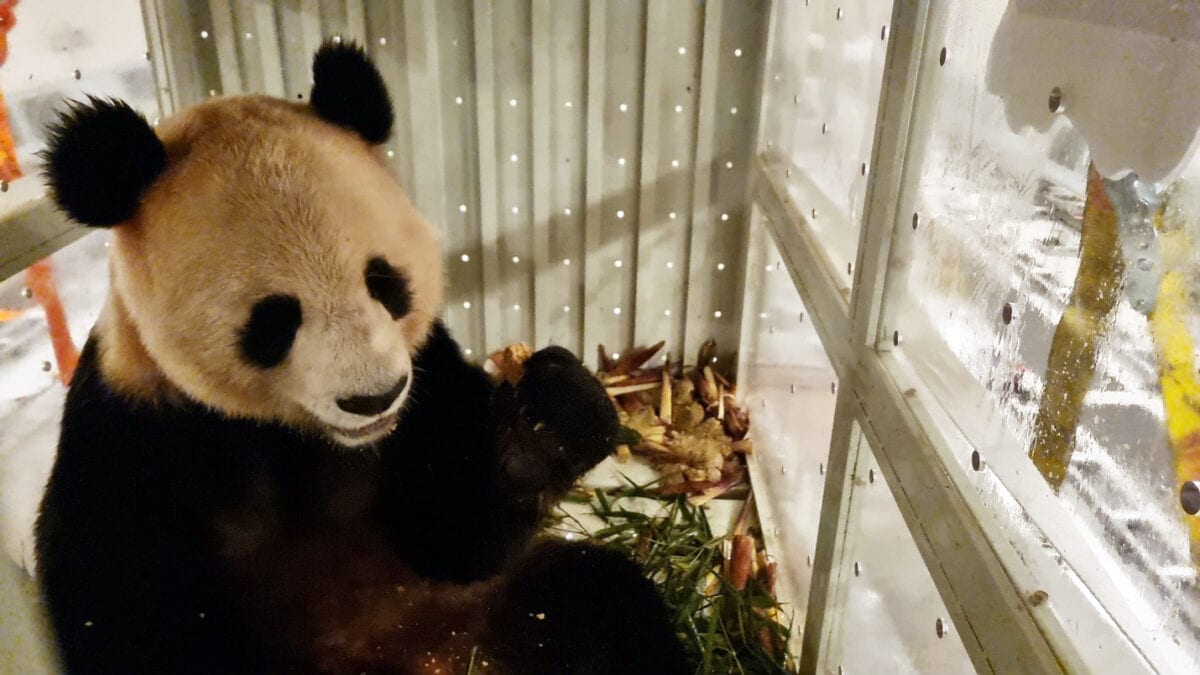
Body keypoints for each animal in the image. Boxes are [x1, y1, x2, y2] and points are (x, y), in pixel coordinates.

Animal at [34, 41, 688, 675]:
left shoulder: (426, 377)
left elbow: (456, 538)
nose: (375, 397)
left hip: (491, 612)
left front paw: (554, 413)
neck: (296, 437)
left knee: (598, 603)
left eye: (384, 282)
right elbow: (130, 620)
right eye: (274, 320)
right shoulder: (135, 432)